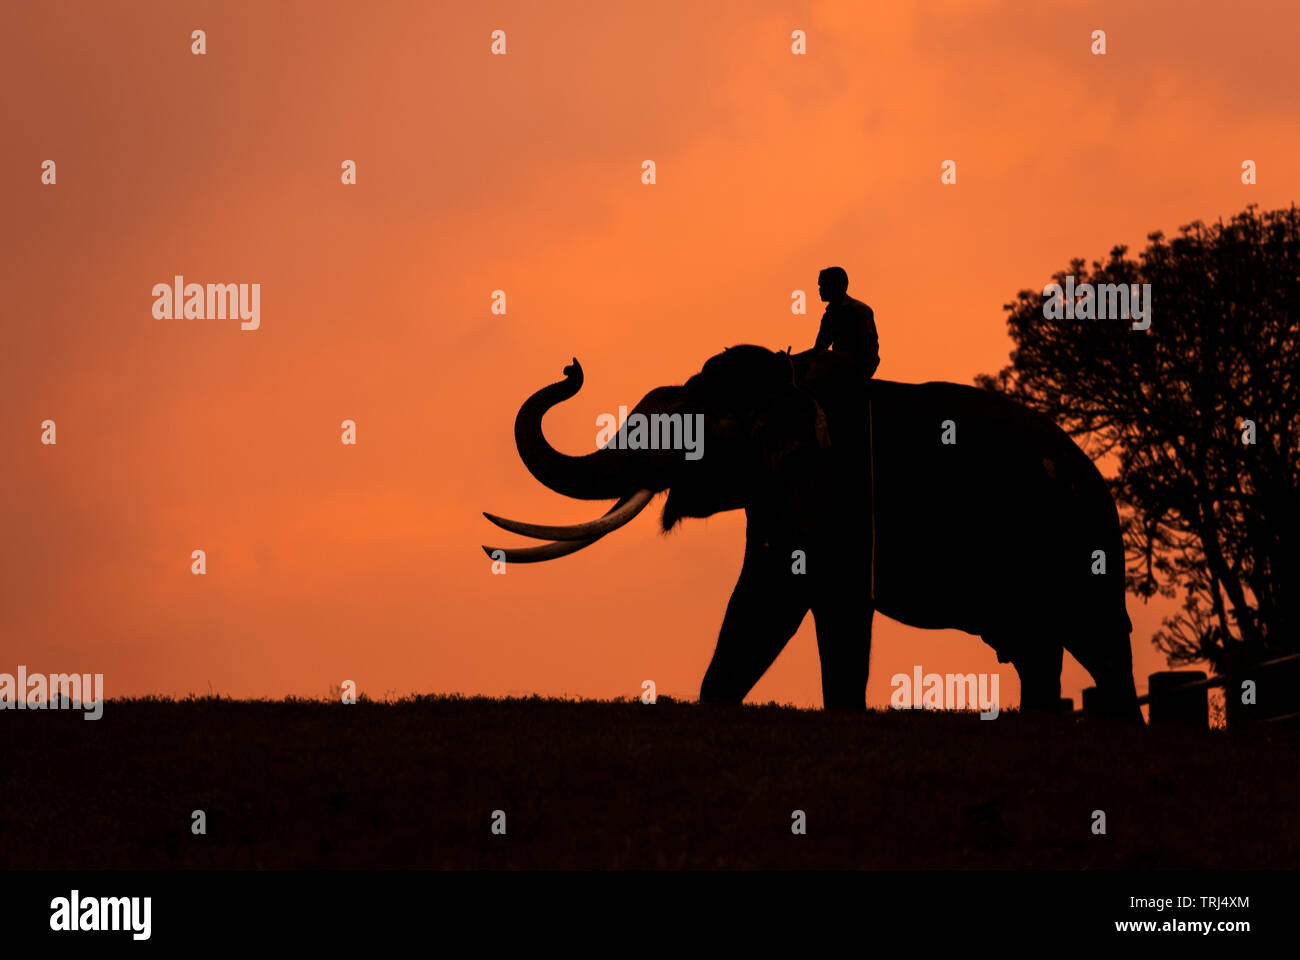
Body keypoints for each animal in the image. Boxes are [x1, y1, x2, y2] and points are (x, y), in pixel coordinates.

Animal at [482, 344, 1143, 722]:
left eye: (686, 434)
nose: (571, 369)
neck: (788, 379)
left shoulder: (842, 487)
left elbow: (806, 600)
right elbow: (765, 597)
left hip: (1082, 544)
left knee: (1101, 645)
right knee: (1039, 652)